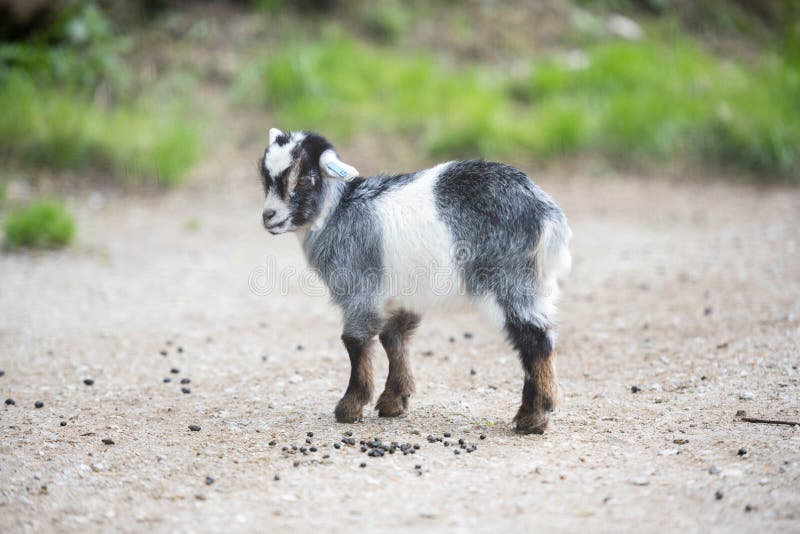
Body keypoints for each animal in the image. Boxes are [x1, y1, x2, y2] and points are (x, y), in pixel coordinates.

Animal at [259, 128, 571, 433]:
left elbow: (355, 341)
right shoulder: (399, 298)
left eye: (304, 179)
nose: (268, 216)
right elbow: (394, 339)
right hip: (536, 284)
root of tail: (547, 215)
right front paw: (394, 401)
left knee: (534, 338)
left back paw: (533, 417)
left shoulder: (361, 291)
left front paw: (350, 407)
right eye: (266, 179)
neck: (338, 213)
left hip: (507, 280)